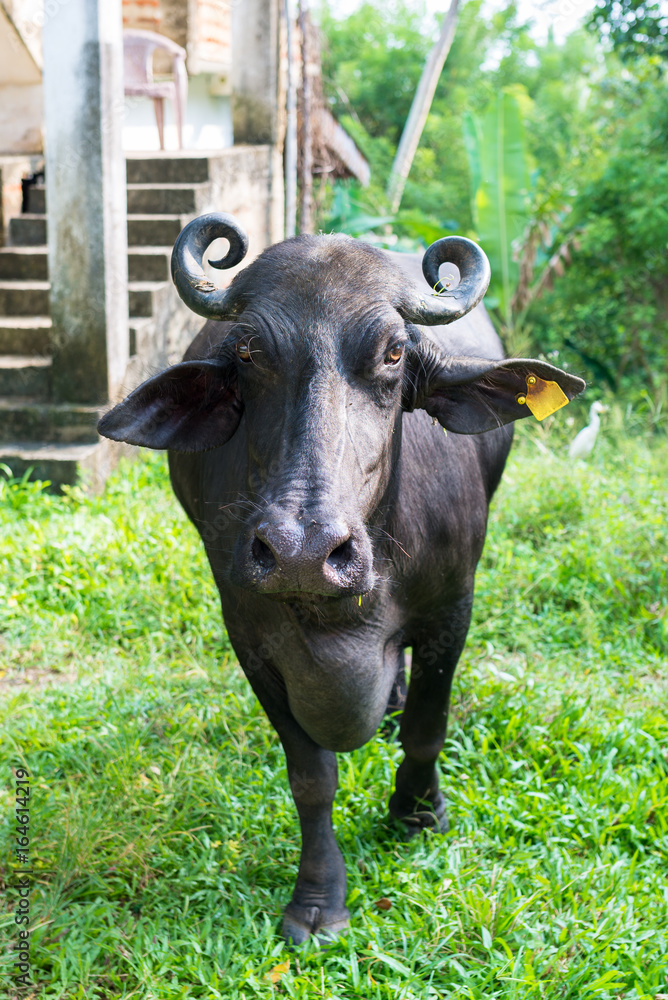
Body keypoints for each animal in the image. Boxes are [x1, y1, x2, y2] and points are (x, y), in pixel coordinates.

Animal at [99, 213, 584, 944]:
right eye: (248, 354)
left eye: (394, 354)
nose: (302, 551)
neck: (341, 612)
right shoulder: (251, 638)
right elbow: (311, 778)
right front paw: (317, 899)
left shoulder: (452, 613)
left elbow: (427, 728)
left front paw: (417, 813)